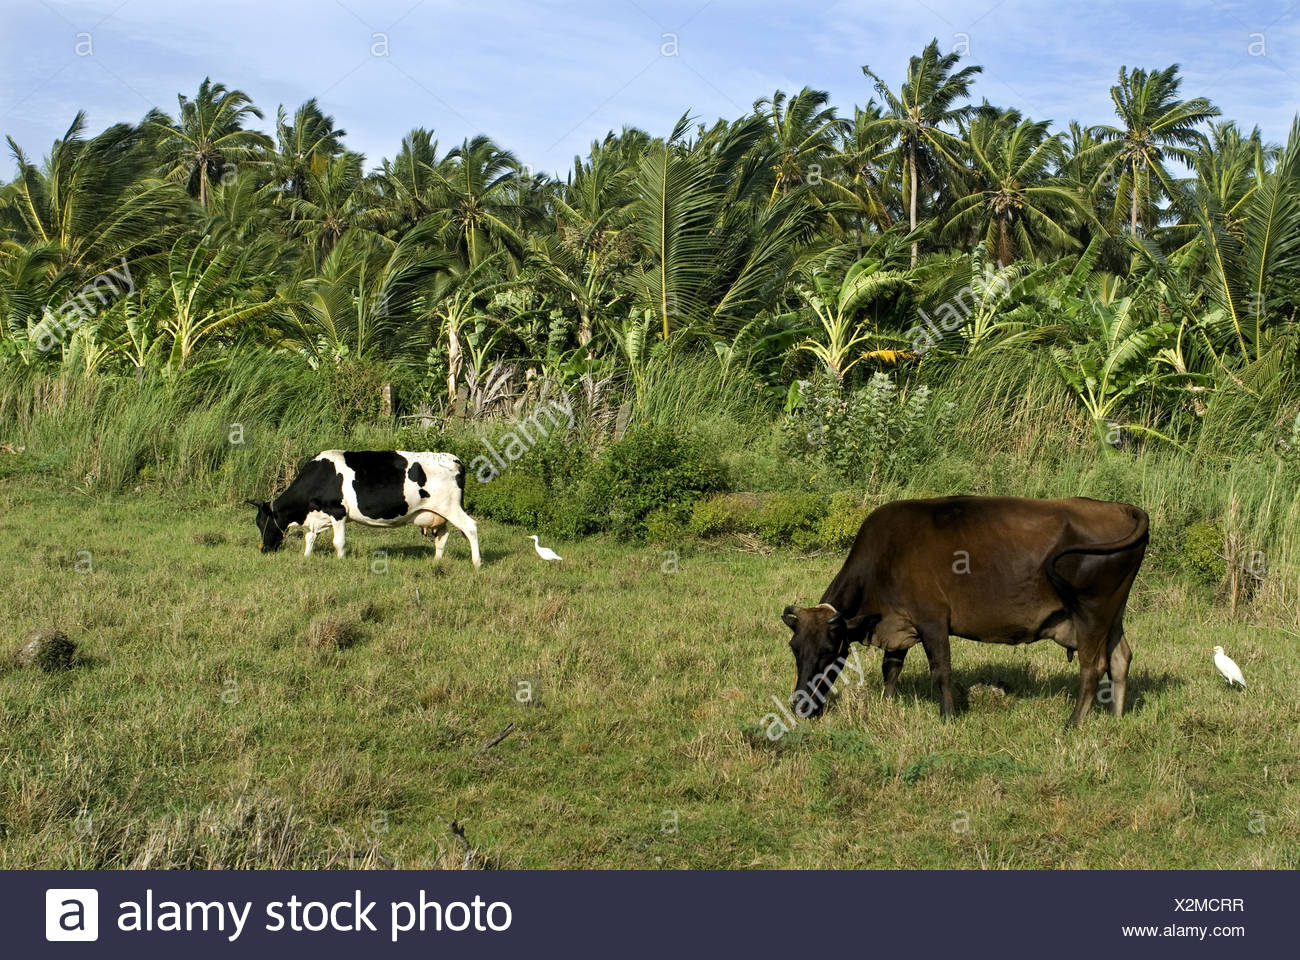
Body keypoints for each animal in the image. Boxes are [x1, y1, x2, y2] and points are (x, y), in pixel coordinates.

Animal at [246, 450, 481, 567]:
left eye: (262, 522)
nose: (264, 549)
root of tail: (454, 459)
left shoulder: (337, 511)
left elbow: (338, 541)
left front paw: (340, 561)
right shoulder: (319, 516)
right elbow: (310, 538)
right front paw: (306, 557)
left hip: (451, 507)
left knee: (470, 527)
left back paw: (477, 563)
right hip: (437, 514)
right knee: (442, 537)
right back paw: (436, 562)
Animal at [781, 496, 1148, 725]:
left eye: (829, 652)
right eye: (795, 650)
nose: (799, 706)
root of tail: (1120, 507)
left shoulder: (932, 620)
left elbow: (941, 671)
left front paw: (948, 716)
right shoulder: (899, 624)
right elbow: (891, 668)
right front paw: (887, 703)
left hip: (1092, 613)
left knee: (1093, 667)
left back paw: (1073, 724)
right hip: (1113, 613)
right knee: (1120, 658)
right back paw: (1115, 718)